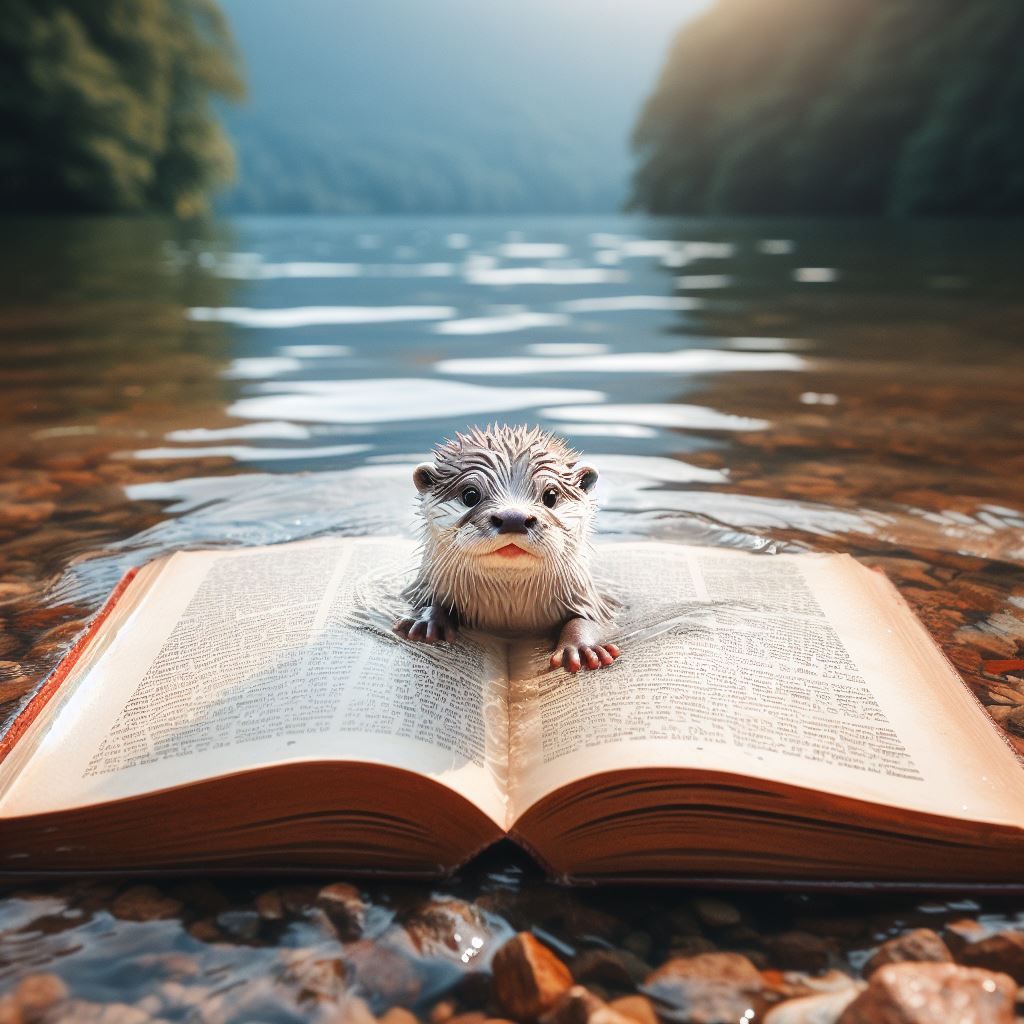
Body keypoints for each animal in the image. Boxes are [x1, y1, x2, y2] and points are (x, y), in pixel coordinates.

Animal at [394, 424, 619, 672]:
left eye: (550, 496)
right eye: (470, 495)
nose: (514, 518)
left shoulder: (589, 599)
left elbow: (589, 619)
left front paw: (582, 647)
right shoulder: (422, 587)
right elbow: (429, 602)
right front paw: (426, 619)